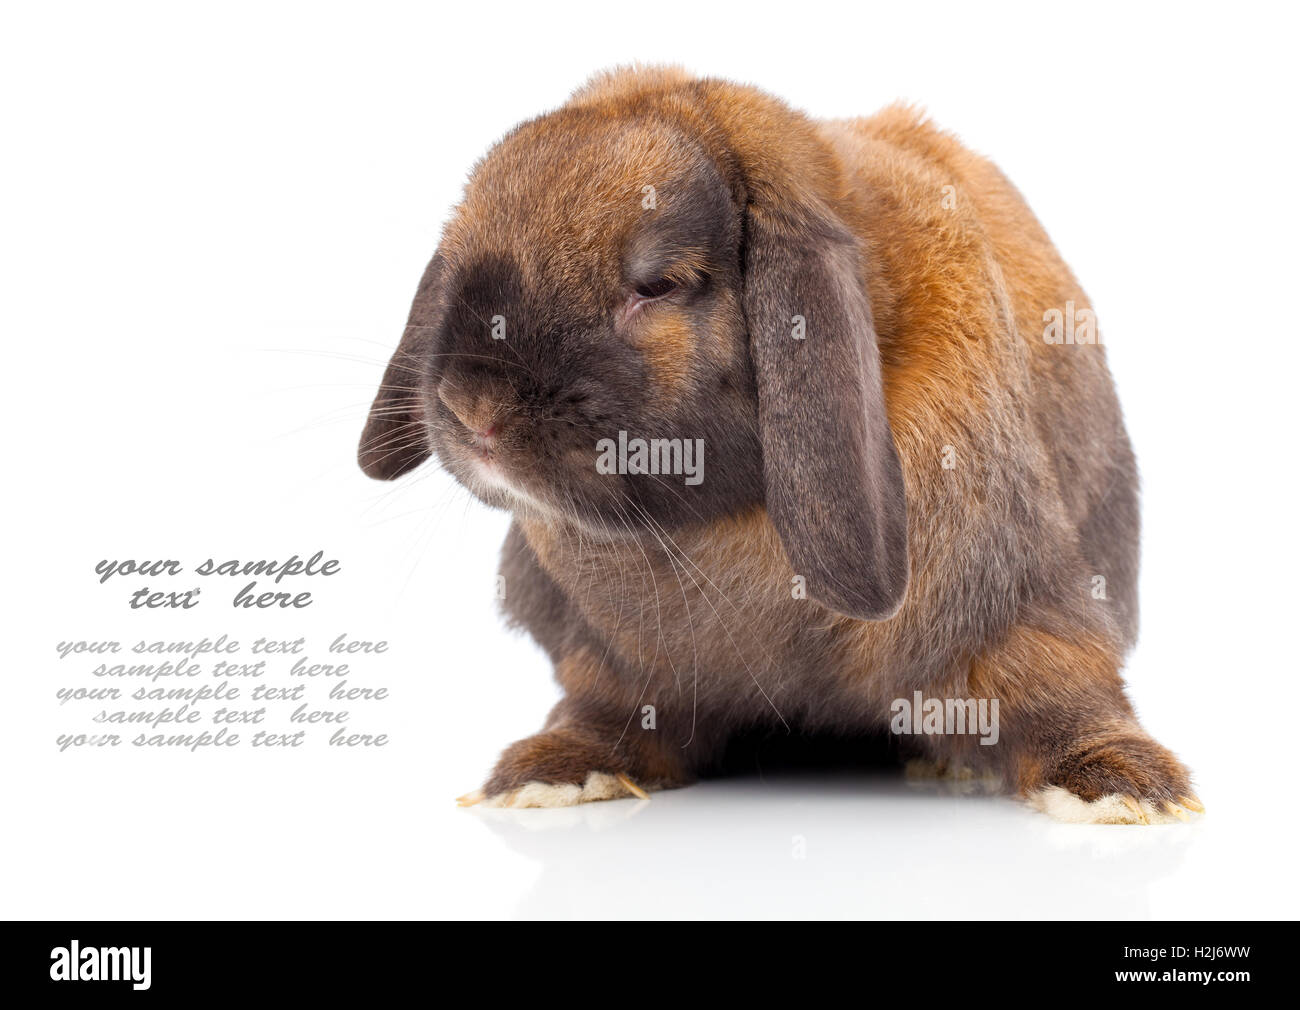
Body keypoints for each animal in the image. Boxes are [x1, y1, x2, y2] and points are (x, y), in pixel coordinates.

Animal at [359, 66, 1200, 824]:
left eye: (656, 284)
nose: (472, 408)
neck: (725, 529)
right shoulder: (613, 661)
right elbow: (608, 711)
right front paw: (551, 772)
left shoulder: (1018, 602)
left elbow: (1057, 687)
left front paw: (1123, 786)